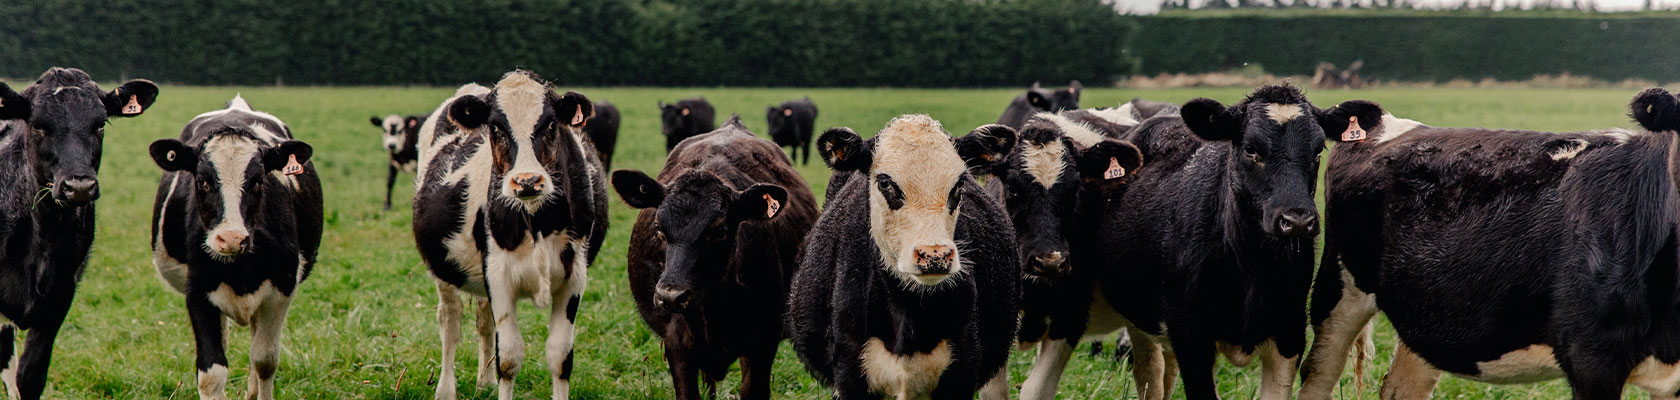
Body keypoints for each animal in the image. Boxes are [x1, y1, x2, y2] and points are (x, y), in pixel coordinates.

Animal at [149, 95, 321, 400]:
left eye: (259, 181)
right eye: (202, 181)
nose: (231, 239)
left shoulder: (281, 289)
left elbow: (265, 360)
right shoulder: (198, 290)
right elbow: (211, 374)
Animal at [411, 70, 607, 400]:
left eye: (551, 124)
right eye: (496, 127)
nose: (526, 181)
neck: (537, 221)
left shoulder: (574, 276)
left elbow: (560, 356)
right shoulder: (499, 275)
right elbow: (510, 357)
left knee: (483, 320)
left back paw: (485, 381)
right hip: (444, 270)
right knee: (450, 322)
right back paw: (446, 389)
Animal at [1095, 84, 1383, 400]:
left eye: (1318, 150)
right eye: (1250, 149)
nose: (1297, 220)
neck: (1252, 268)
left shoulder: (1290, 333)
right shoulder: (1190, 337)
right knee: (1149, 375)